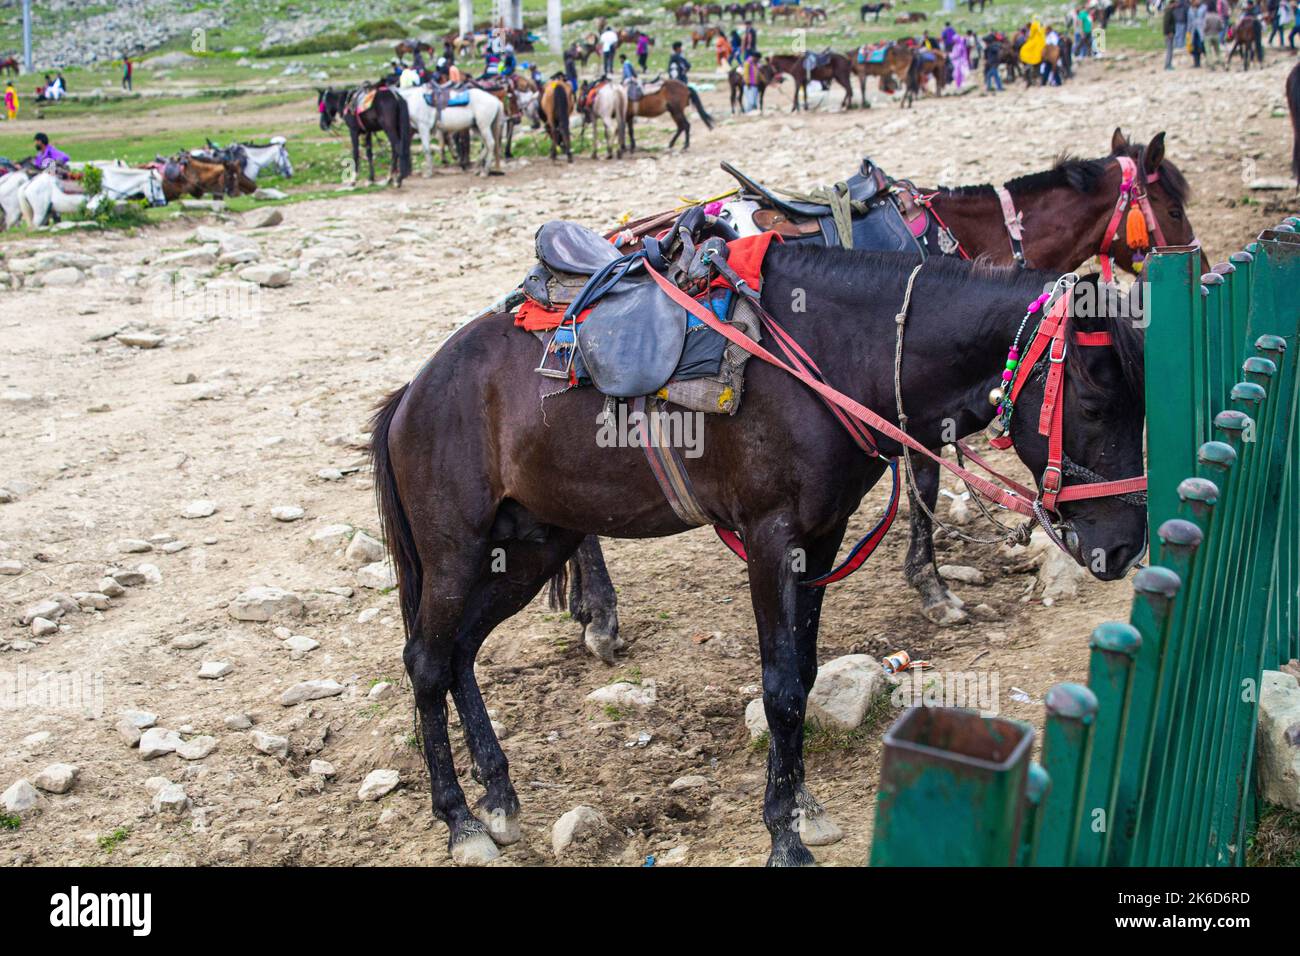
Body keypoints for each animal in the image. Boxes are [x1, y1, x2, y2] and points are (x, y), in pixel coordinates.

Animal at [369, 246, 1150, 867]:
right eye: (1092, 399)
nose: (1123, 545)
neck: (834, 354)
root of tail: (413, 393)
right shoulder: (771, 541)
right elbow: (778, 688)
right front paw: (784, 837)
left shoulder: (823, 536)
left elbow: (802, 676)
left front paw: (802, 805)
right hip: (455, 552)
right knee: (427, 661)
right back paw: (461, 820)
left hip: (529, 549)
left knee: (461, 654)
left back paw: (499, 796)